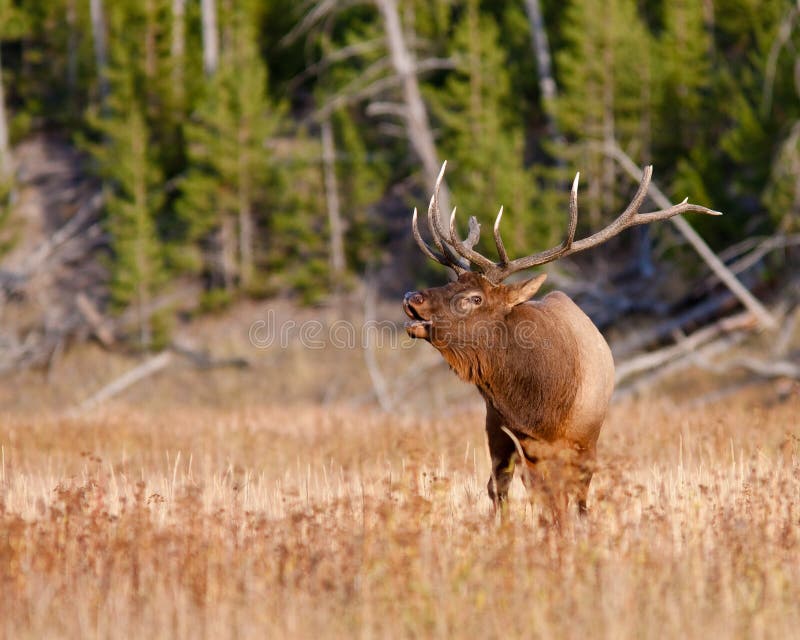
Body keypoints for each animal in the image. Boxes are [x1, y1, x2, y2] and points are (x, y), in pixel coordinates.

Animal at [403, 162, 720, 520]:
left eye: (474, 298)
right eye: (448, 283)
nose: (411, 296)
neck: (541, 407)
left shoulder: (583, 442)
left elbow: (574, 500)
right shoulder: (515, 439)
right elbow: (536, 498)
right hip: (496, 432)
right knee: (500, 488)